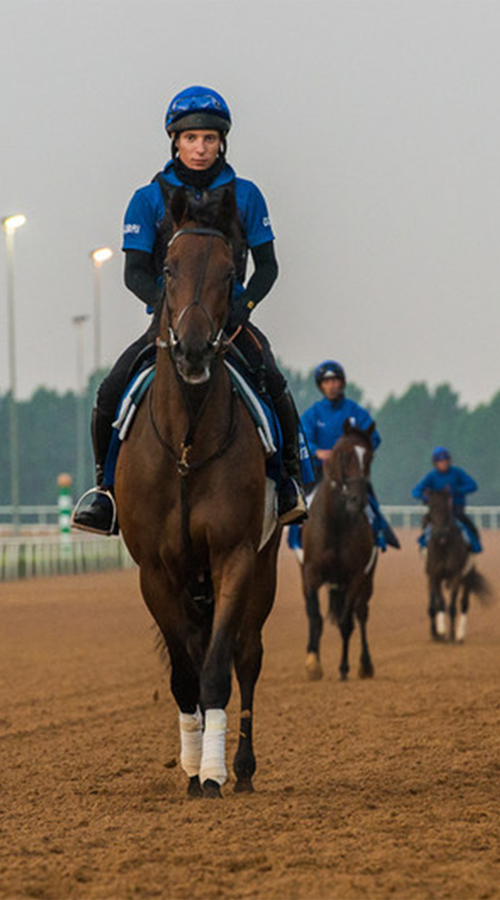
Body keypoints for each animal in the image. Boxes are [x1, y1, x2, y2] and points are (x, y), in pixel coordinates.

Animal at [114, 187, 281, 798]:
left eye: (231, 273)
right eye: (168, 267)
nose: (190, 350)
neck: (185, 447)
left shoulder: (235, 555)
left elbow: (215, 671)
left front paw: (213, 773)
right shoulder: (155, 571)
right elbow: (185, 673)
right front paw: (191, 768)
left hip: (265, 565)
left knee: (246, 656)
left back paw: (245, 769)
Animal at [300, 420, 378, 682]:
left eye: (370, 457)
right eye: (344, 455)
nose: (357, 500)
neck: (336, 524)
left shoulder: (355, 576)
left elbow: (347, 622)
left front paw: (345, 667)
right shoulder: (311, 573)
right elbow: (315, 616)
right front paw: (312, 663)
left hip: (367, 579)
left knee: (361, 613)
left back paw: (365, 664)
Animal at [424, 489, 491, 642]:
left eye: (446, 508)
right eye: (431, 506)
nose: (440, 532)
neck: (443, 544)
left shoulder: (456, 575)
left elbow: (452, 606)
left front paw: (451, 635)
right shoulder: (435, 575)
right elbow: (440, 603)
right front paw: (441, 631)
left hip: (468, 577)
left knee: (464, 603)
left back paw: (460, 634)